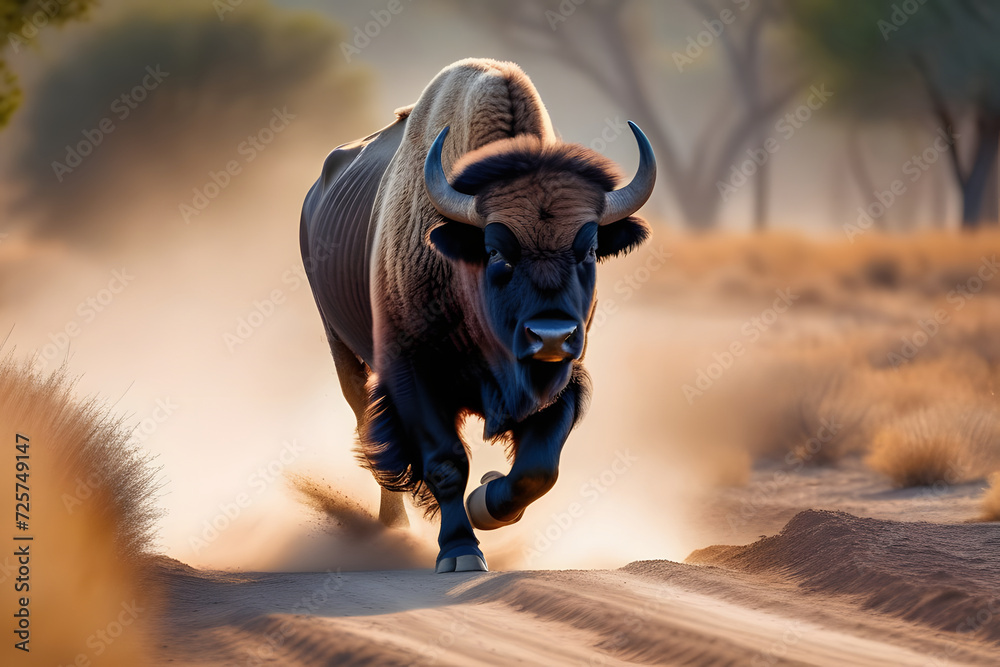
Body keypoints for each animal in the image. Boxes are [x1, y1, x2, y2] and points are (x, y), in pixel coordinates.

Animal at [300, 58, 655, 573]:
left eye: (588, 249)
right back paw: (392, 528)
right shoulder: (412, 375)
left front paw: (485, 502)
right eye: (495, 250)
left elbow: (538, 469)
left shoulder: (560, 380)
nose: (550, 336)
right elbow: (445, 462)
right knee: (370, 431)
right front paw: (461, 551)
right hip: (343, 349)